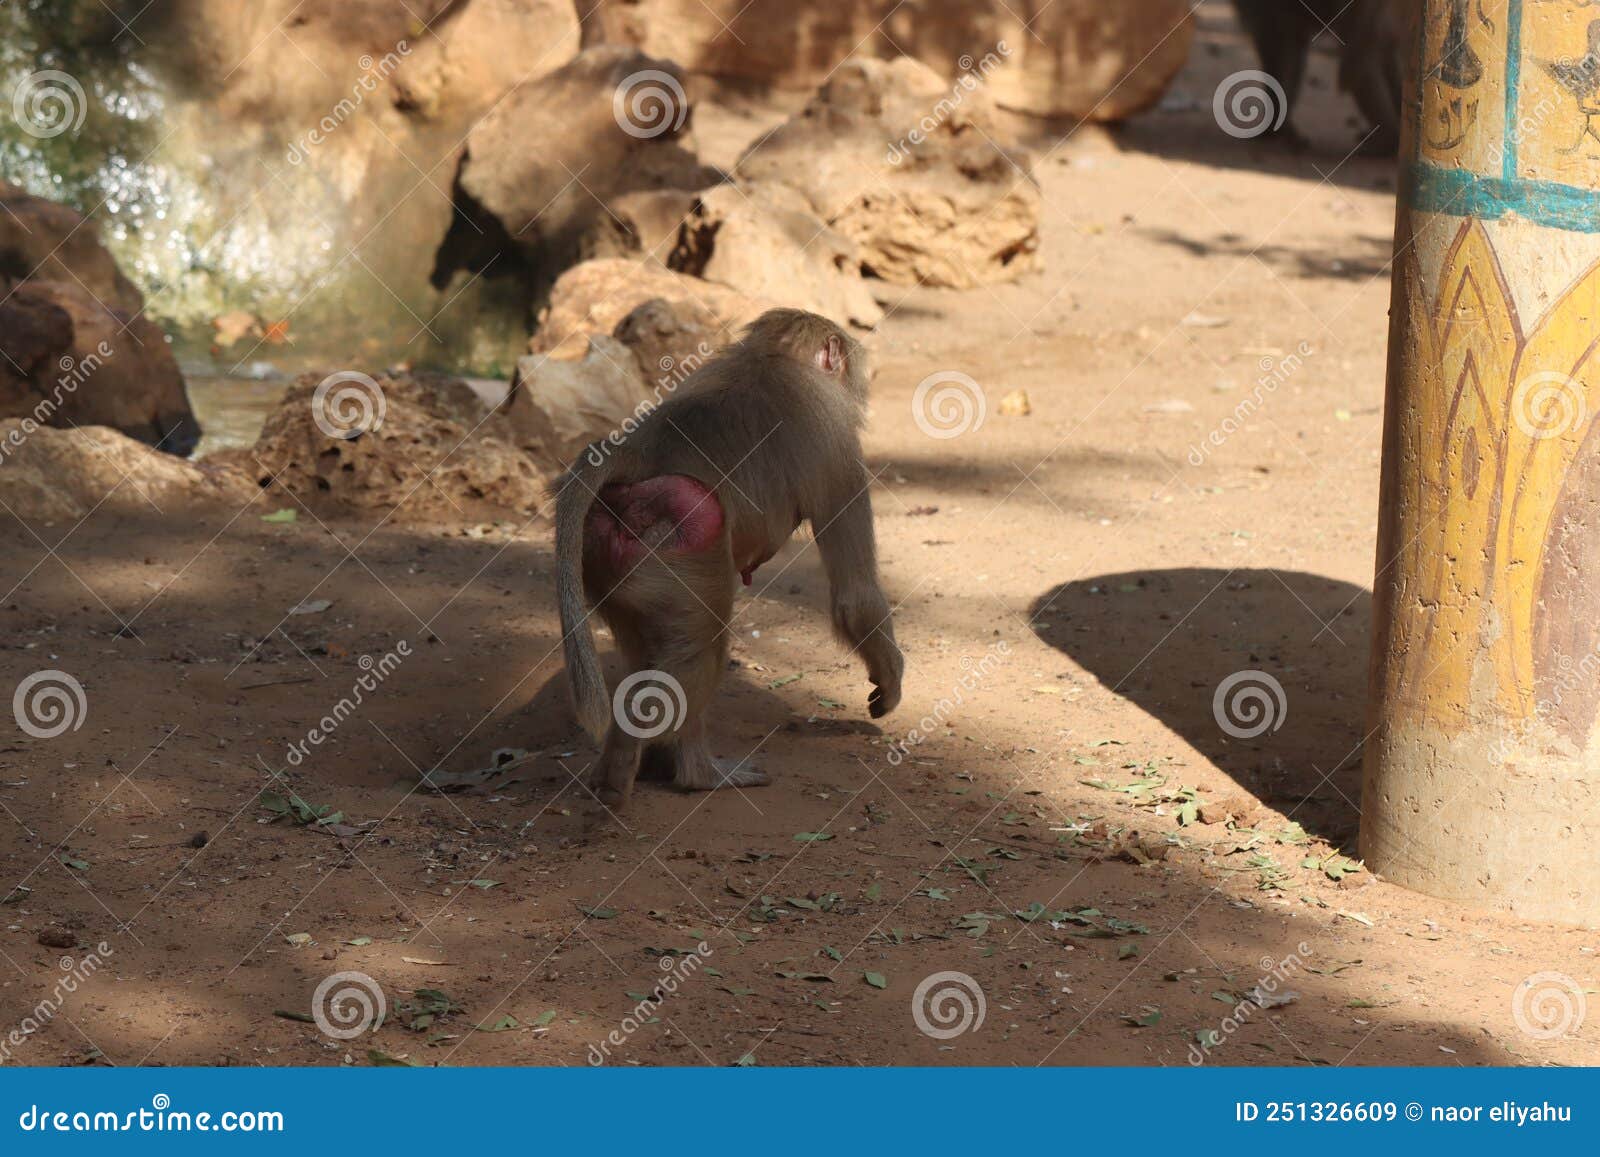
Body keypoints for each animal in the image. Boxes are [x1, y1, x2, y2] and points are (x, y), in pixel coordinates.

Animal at [554, 308, 904, 809]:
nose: (862, 383)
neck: (775, 356)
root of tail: (633, 451)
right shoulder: (840, 447)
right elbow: (855, 598)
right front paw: (889, 682)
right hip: (685, 539)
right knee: (701, 648)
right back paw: (693, 773)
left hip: (606, 550)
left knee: (654, 650)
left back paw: (633, 766)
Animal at [1231, 0, 1406, 155]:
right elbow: (1291, 49)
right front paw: (1281, 126)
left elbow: (1276, 50)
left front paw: (1275, 127)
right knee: (1376, 56)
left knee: (1358, 61)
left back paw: (1388, 142)